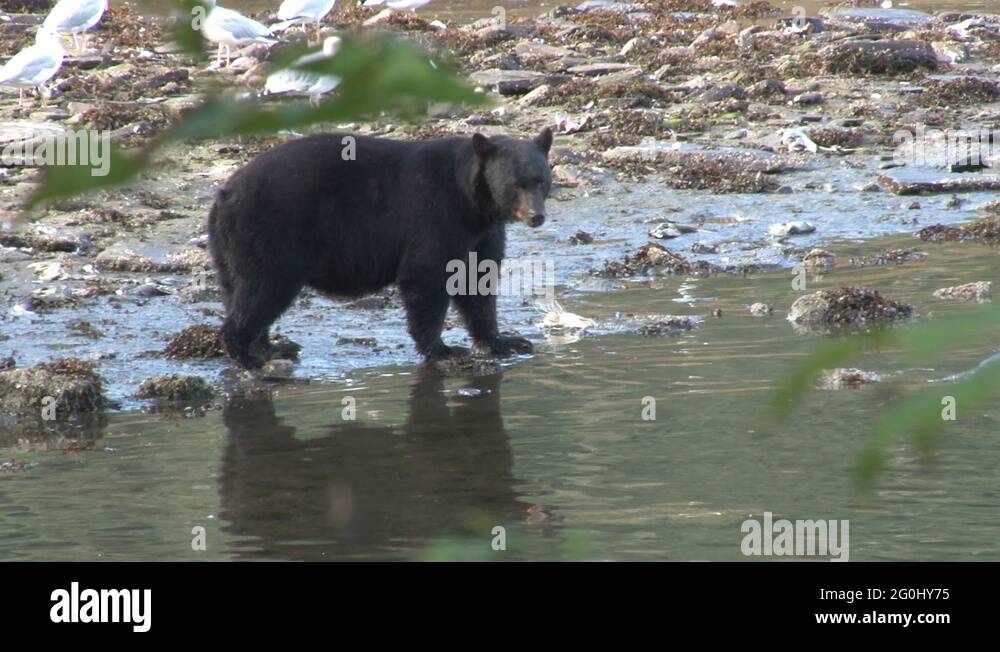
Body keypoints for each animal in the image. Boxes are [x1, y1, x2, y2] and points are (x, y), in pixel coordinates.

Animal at [207, 128, 553, 369]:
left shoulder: (482, 234)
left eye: (541, 180)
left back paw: (272, 347)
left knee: (238, 290)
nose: (536, 215)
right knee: (262, 289)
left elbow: (477, 281)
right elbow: (427, 276)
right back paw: (248, 356)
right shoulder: (435, 215)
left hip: (229, 247)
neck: (472, 204)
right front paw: (443, 350)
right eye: (515, 184)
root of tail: (223, 194)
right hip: (269, 233)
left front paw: (505, 341)